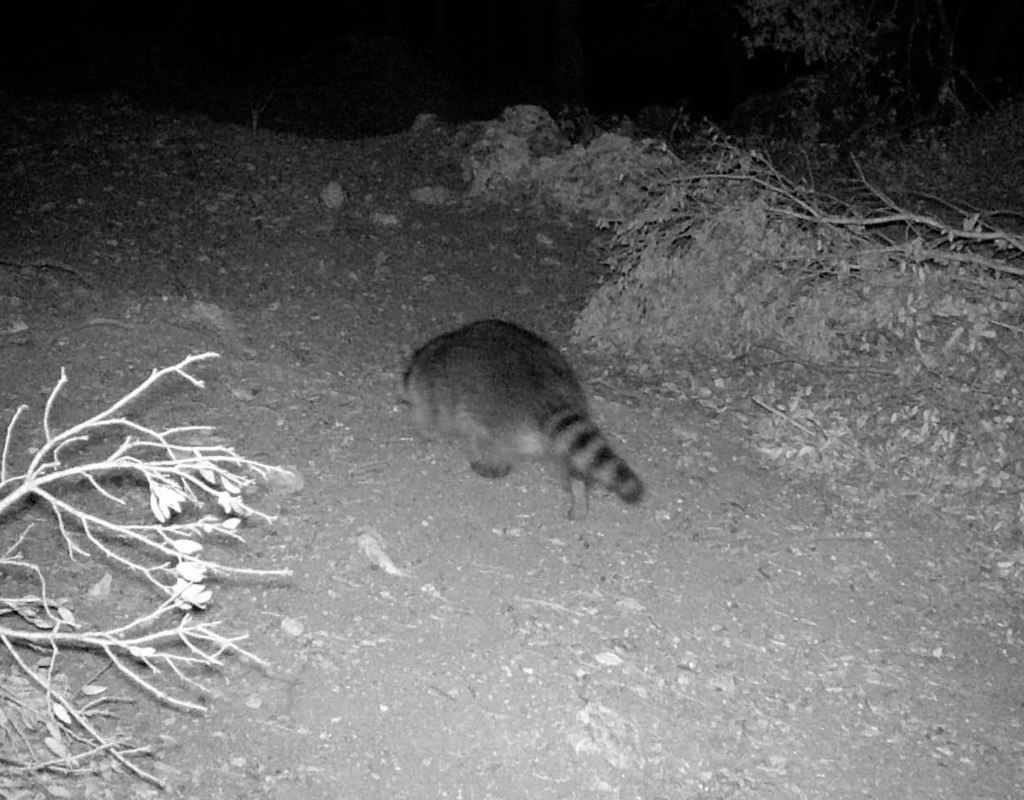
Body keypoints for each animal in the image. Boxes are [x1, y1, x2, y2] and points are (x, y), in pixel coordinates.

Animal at [401, 319, 643, 520]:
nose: (402, 396)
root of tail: (549, 391)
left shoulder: (436, 400)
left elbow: (435, 424)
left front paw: (426, 437)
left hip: (501, 420)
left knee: (501, 448)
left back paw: (496, 465)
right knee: (570, 461)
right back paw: (579, 493)